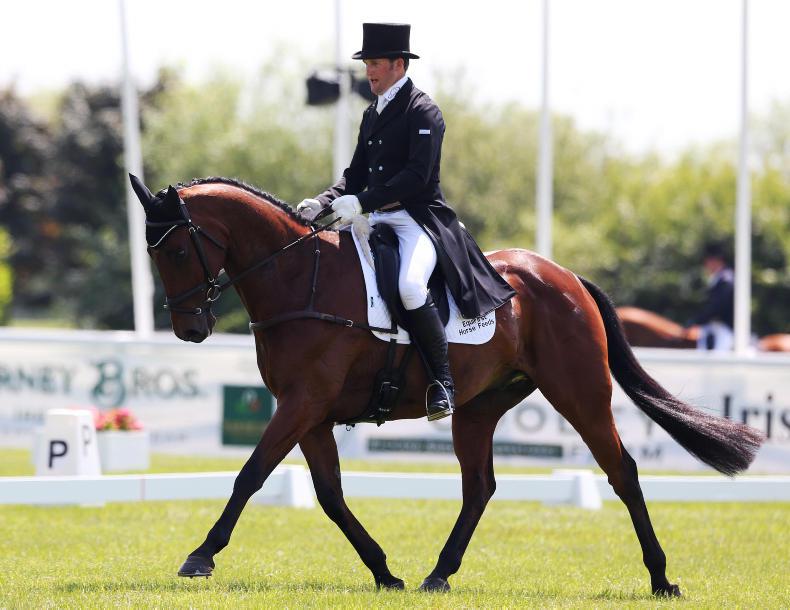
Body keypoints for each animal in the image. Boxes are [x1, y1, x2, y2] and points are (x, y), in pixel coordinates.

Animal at [130, 174, 763, 597]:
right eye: (153, 253)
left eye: (180, 248)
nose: (190, 329)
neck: (297, 279)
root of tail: (565, 276)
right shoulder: (309, 411)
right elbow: (330, 495)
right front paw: (385, 571)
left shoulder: (302, 403)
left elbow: (251, 474)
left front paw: (200, 556)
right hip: (479, 406)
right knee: (479, 486)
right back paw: (438, 573)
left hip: (579, 392)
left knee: (622, 471)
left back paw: (661, 579)